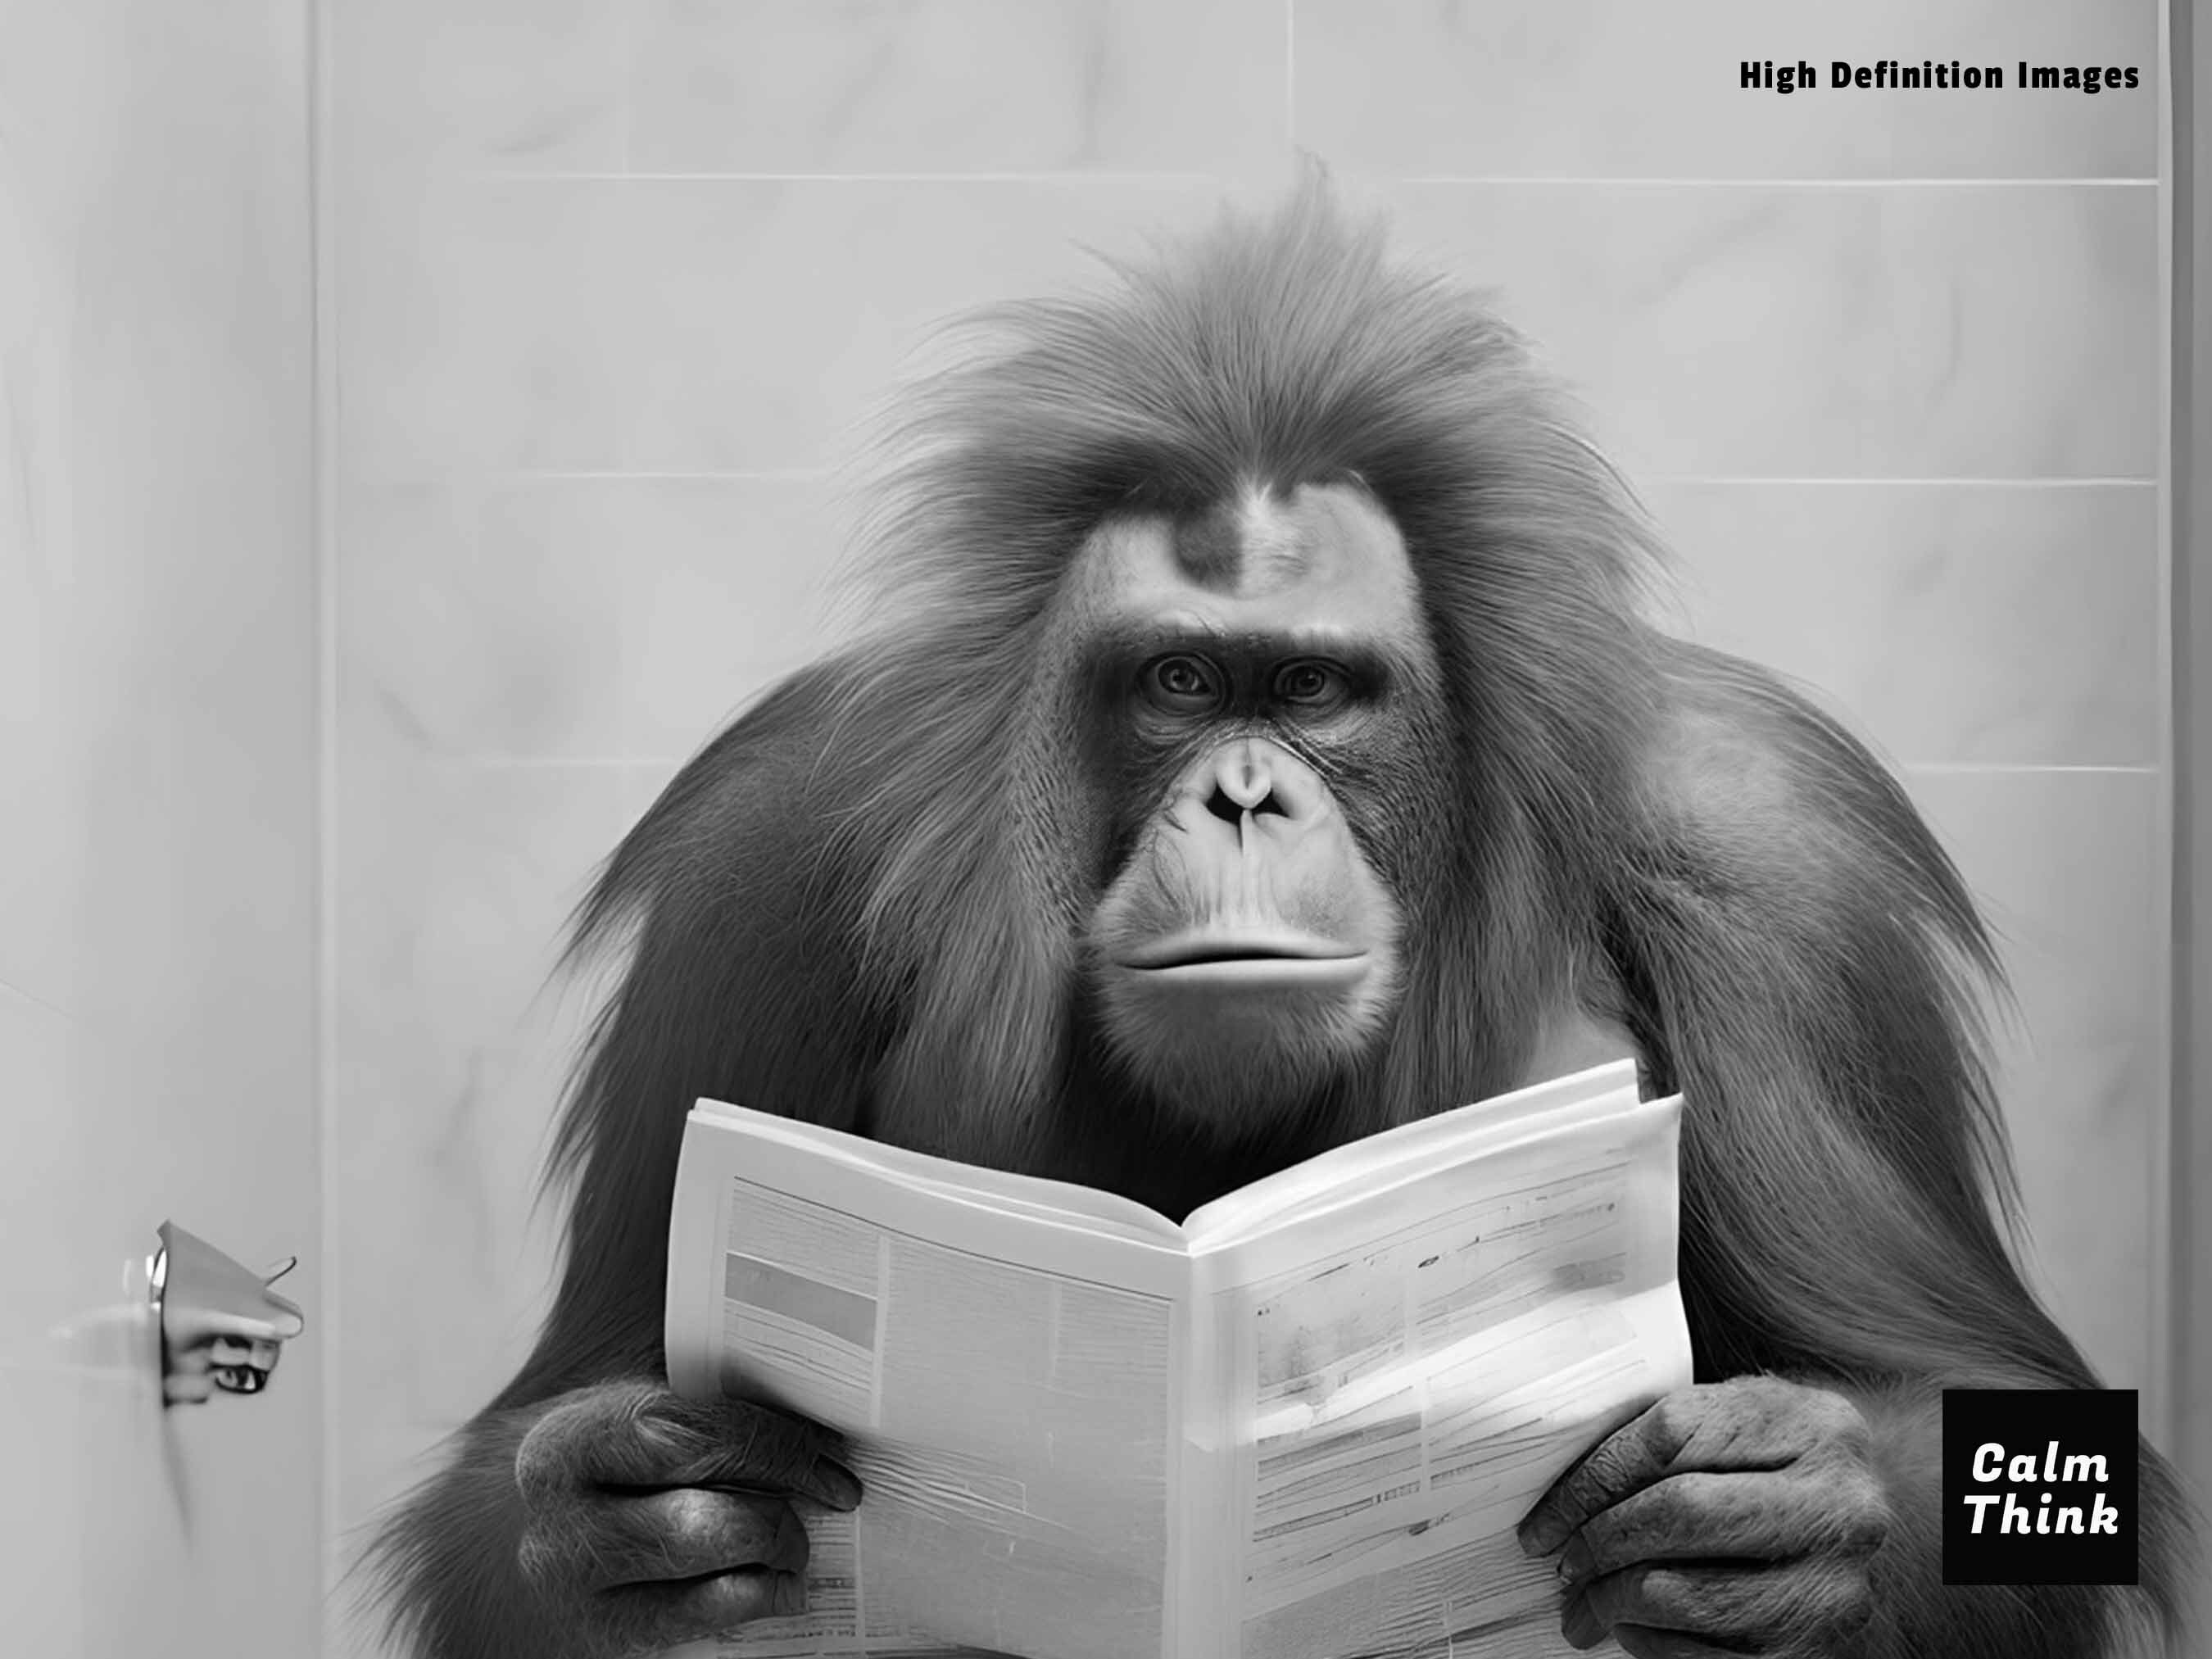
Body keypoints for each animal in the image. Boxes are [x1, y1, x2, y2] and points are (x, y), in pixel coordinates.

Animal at [362, 179, 2195, 1659]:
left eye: (1312, 689)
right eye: (1181, 681)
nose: (1246, 798)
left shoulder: (1770, 861)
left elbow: (1946, 1380)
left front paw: (1782, 1511)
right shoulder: (767, 859)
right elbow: (549, 1424)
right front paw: (632, 1514)